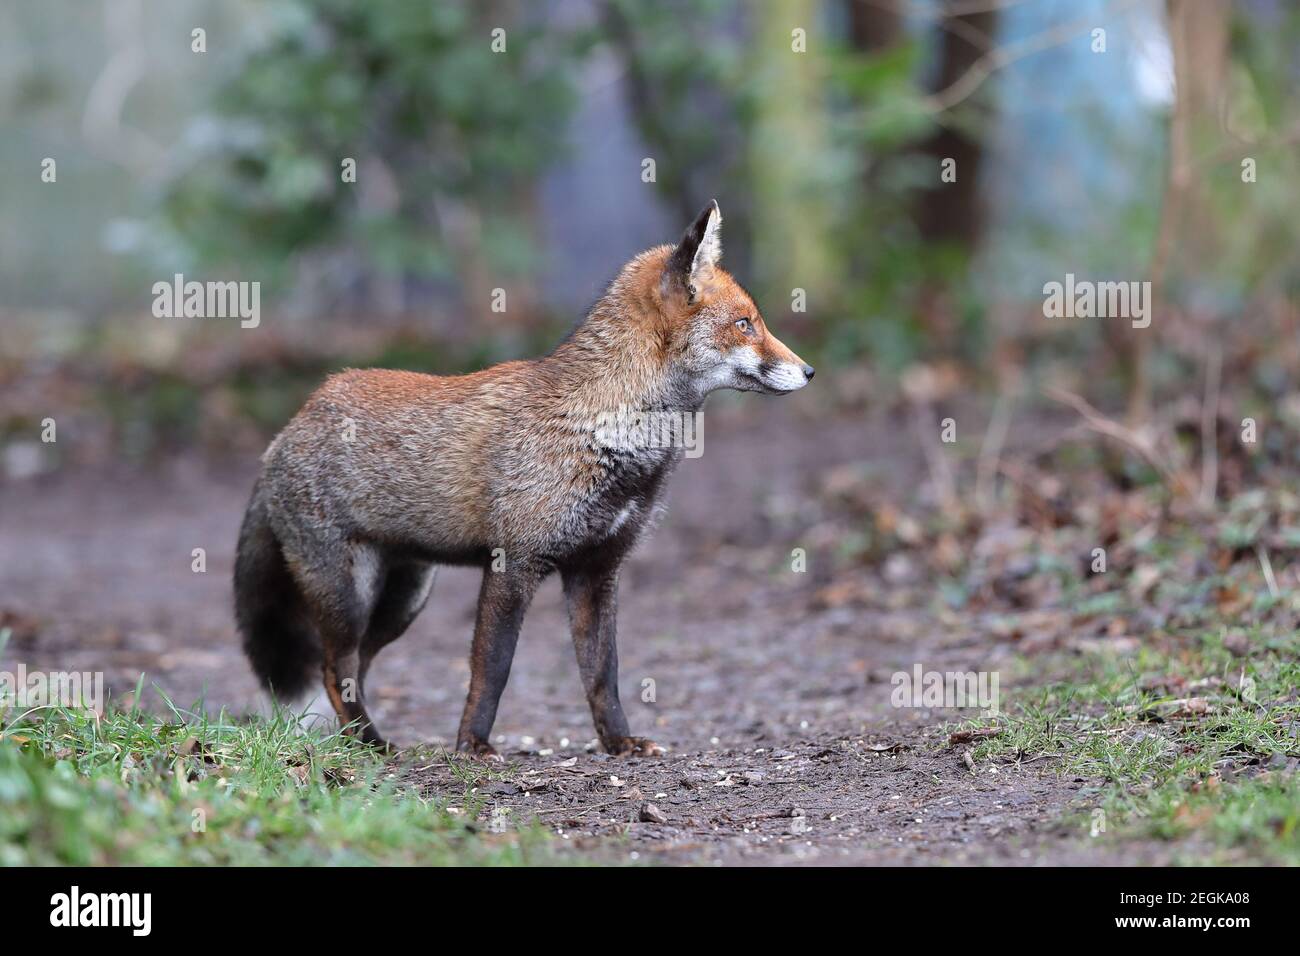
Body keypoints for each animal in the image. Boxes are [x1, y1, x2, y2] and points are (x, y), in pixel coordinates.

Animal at [234, 200, 814, 757]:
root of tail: (292, 424)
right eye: (745, 324)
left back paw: (357, 743)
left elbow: (603, 674)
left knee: (354, 670)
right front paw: (473, 745)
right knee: (335, 669)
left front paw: (619, 744)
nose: (809, 371)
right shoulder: (513, 564)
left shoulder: (597, 570)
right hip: (349, 595)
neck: (608, 434)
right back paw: (371, 746)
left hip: (401, 601)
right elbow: (492, 669)